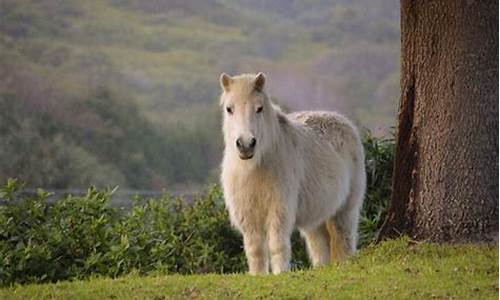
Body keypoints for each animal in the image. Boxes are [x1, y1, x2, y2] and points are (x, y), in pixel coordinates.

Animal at [221, 72, 366, 274]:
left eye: (259, 108)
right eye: (229, 109)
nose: (246, 144)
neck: (254, 167)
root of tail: (346, 123)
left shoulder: (279, 210)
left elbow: (277, 245)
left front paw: (280, 273)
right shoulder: (248, 215)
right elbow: (255, 250)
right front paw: (258, 275)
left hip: (344, 211)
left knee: (343, 240)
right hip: (316, 219)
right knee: (320, 247)